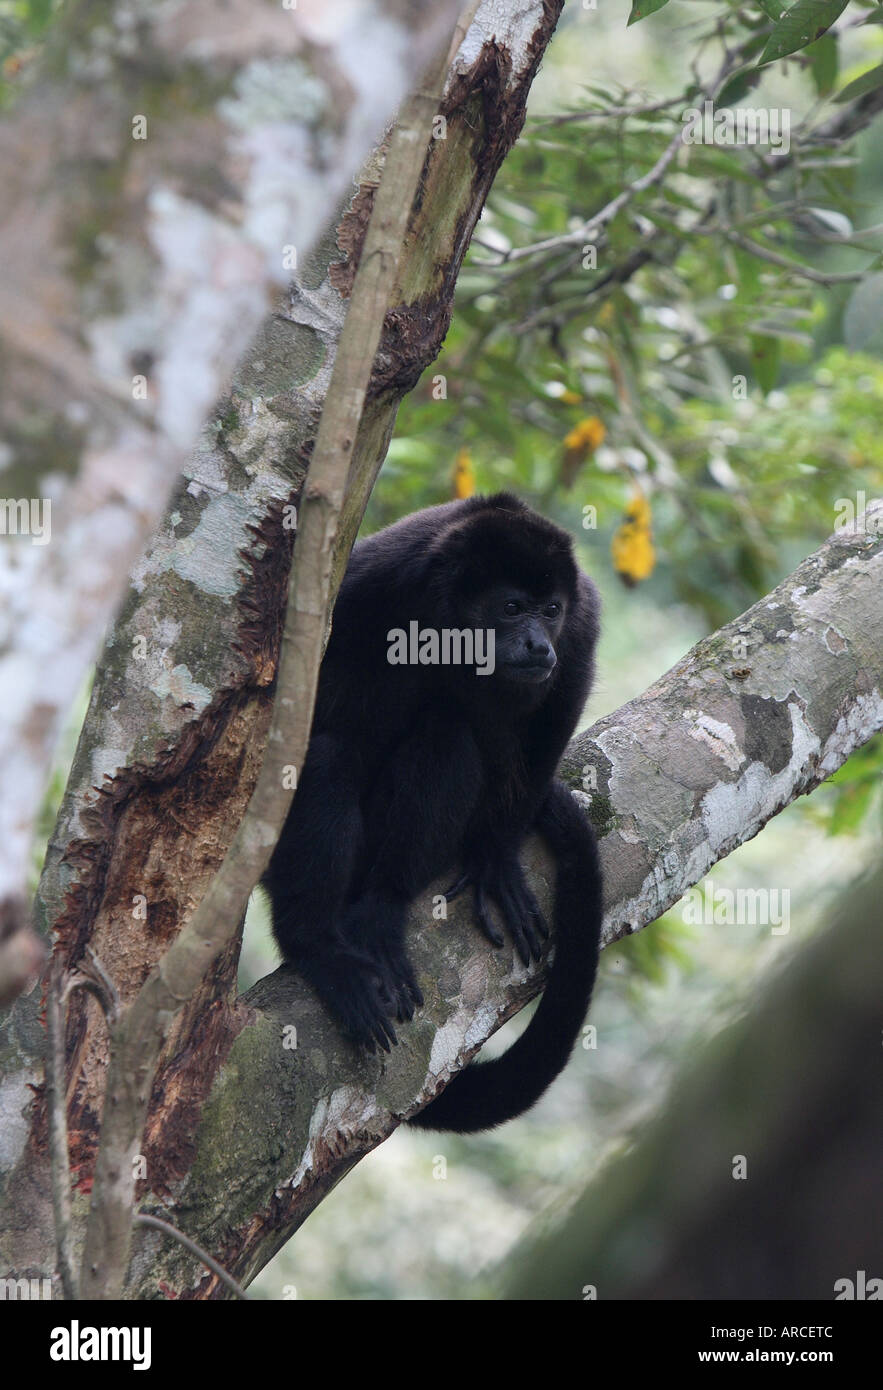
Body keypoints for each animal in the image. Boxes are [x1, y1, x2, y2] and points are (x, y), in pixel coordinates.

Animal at [262, 492, 603, 1132]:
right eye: (511, 607)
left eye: (550, 610)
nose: (537, 643)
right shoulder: (376, 576)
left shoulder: (583, 623)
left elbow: (559, 707)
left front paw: (496, 856)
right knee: (328, 756)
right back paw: (318, 947)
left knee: (447, 733)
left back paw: (383, 907)